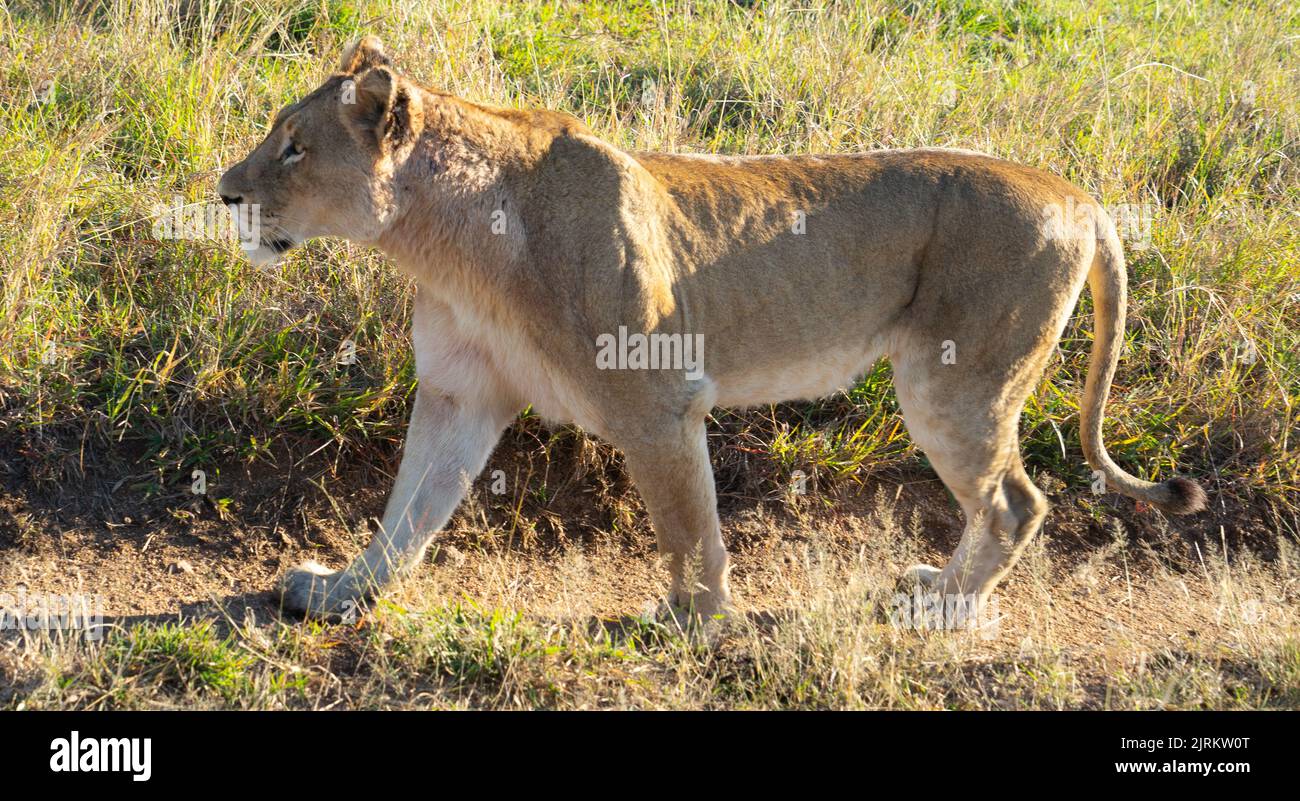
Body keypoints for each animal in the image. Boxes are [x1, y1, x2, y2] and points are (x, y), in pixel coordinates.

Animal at [217, 36, 1205, 620]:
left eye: (295, 147)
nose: (223, 195)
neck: (445, 245)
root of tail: (1080, 195)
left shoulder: (657, 398)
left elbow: (686, 522)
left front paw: (695, 621)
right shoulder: (461, 391)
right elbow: (409, 509)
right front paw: (345, 590)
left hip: (956, 383)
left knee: (1016, 501)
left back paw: (944, 608)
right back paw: (940, 587)